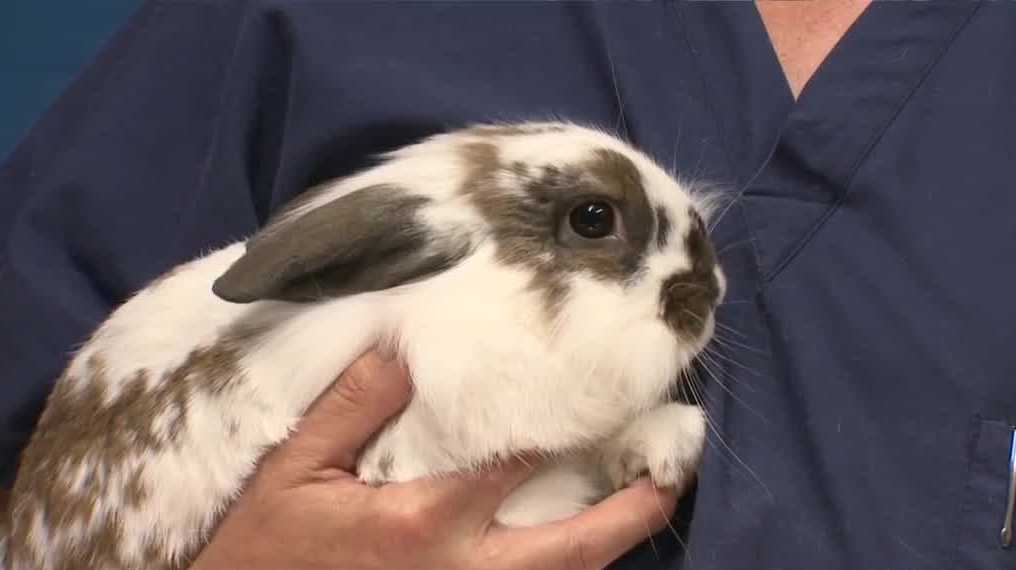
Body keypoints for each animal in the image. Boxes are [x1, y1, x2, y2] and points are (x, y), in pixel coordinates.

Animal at [2, 121, 726, 570]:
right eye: (593, 218)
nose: (711, 290)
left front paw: (663, 445)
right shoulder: (467, 483)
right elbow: (572, 470)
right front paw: (674, 437)